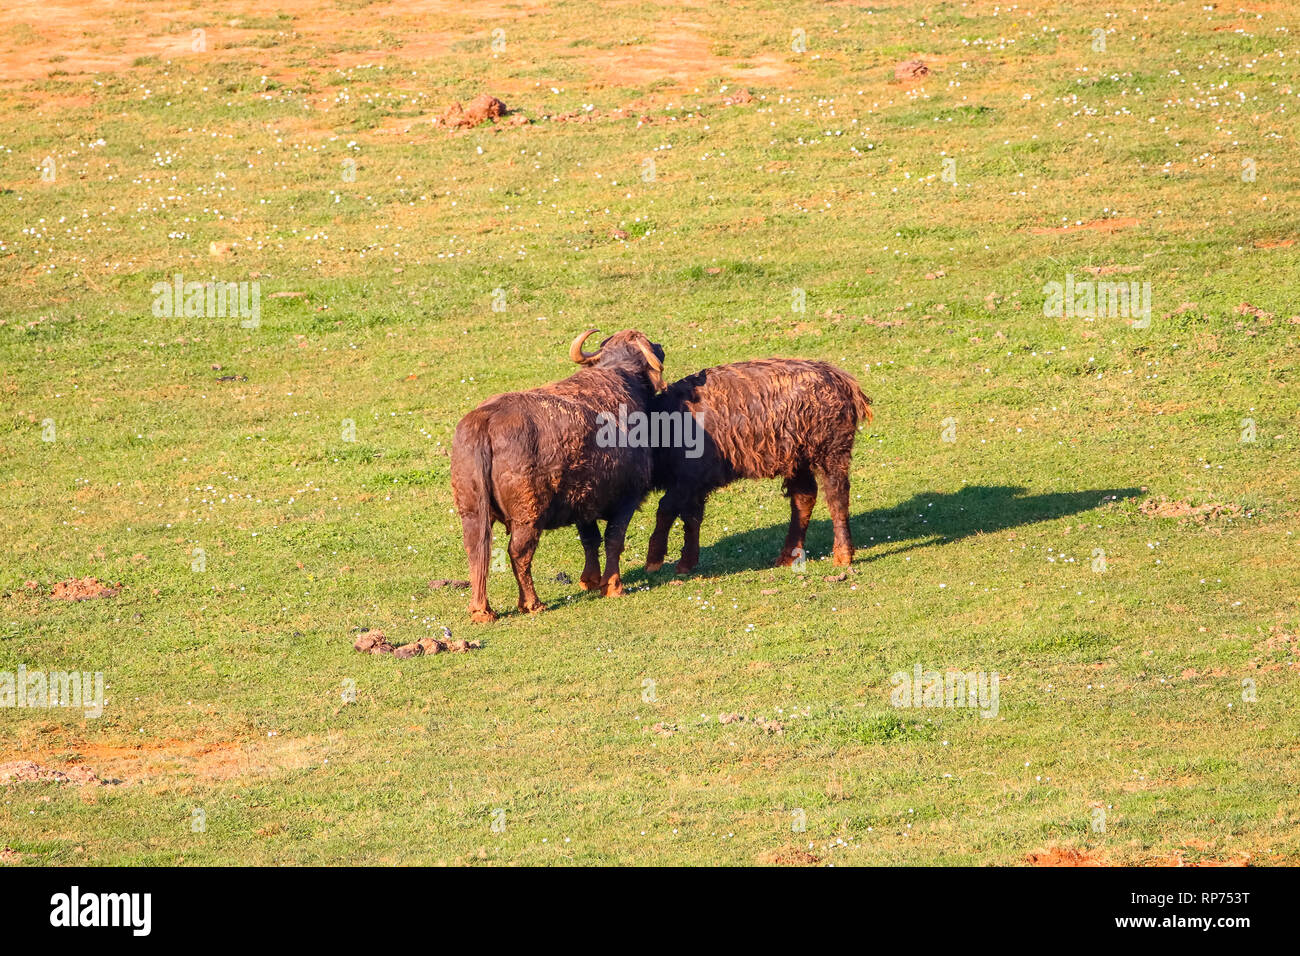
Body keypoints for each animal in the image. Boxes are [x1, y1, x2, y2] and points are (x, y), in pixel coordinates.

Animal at [450, 329, 665, 622]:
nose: (660, 346)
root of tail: (485, 420)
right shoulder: (626, 501)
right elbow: (613, 540)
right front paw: (612, 586)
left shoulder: (584, 505)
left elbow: (590, 540)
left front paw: (590, 580)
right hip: (528, 518)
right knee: (519, 553)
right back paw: (532, 603)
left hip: (472, 512)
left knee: (477, 551)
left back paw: (482, 610)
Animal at [646, 359, 873, 574]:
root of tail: (838, 378)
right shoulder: (695, 488)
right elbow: (691, 519)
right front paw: (686, 564)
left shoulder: (689, 481)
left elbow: (666, 509)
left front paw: (653, 561)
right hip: (798, 462)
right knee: (804, 498)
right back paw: (787, 556)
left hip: (832, 456)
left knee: (837, 499)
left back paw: (843, 556)